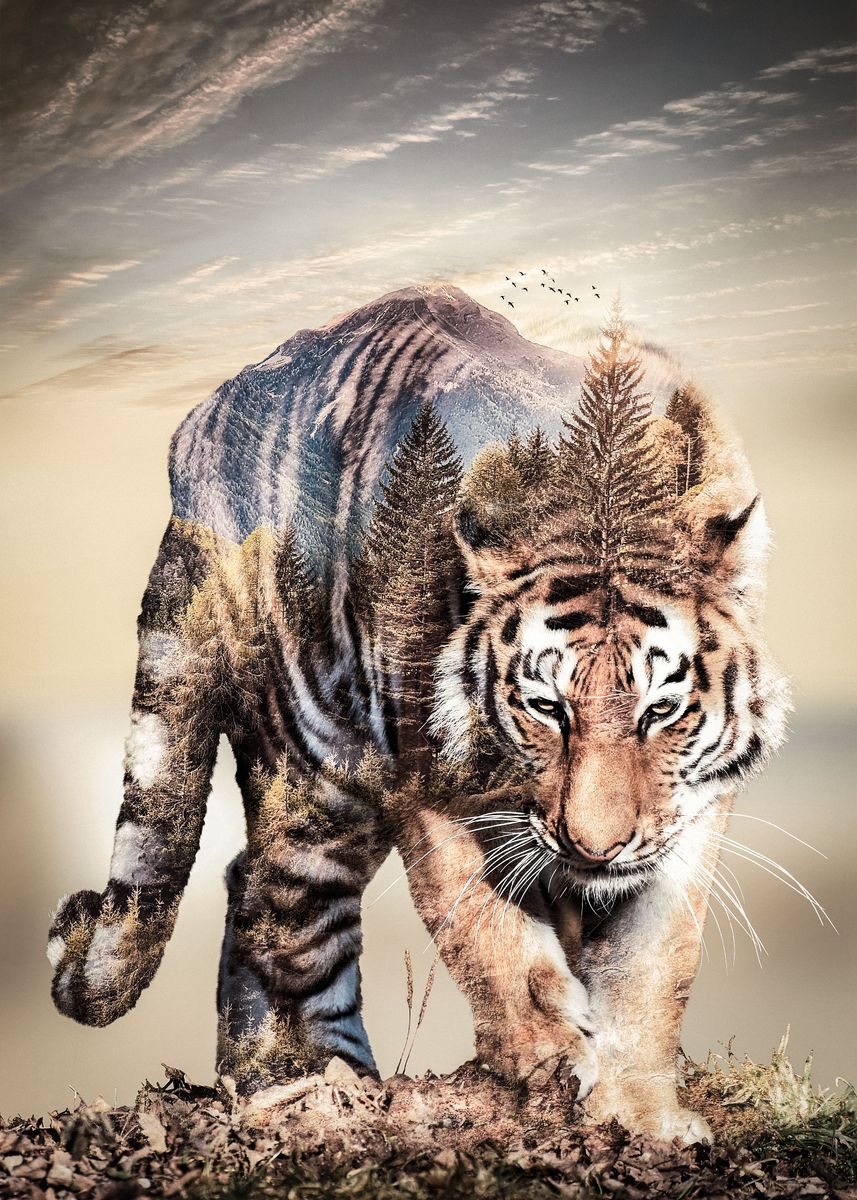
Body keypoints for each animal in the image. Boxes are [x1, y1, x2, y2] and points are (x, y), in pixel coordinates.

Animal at [47, 283, 789, 1144]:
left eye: (660, 711)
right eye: (545, 707)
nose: (593, 846)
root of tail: (198, 437)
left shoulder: (689, 811)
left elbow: (654, 959)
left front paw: (639, 1116)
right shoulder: (424, 782)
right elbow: (488, 933)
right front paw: (546, 1056)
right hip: (315, 762)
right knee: (276, 900)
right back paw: (296, 1088)